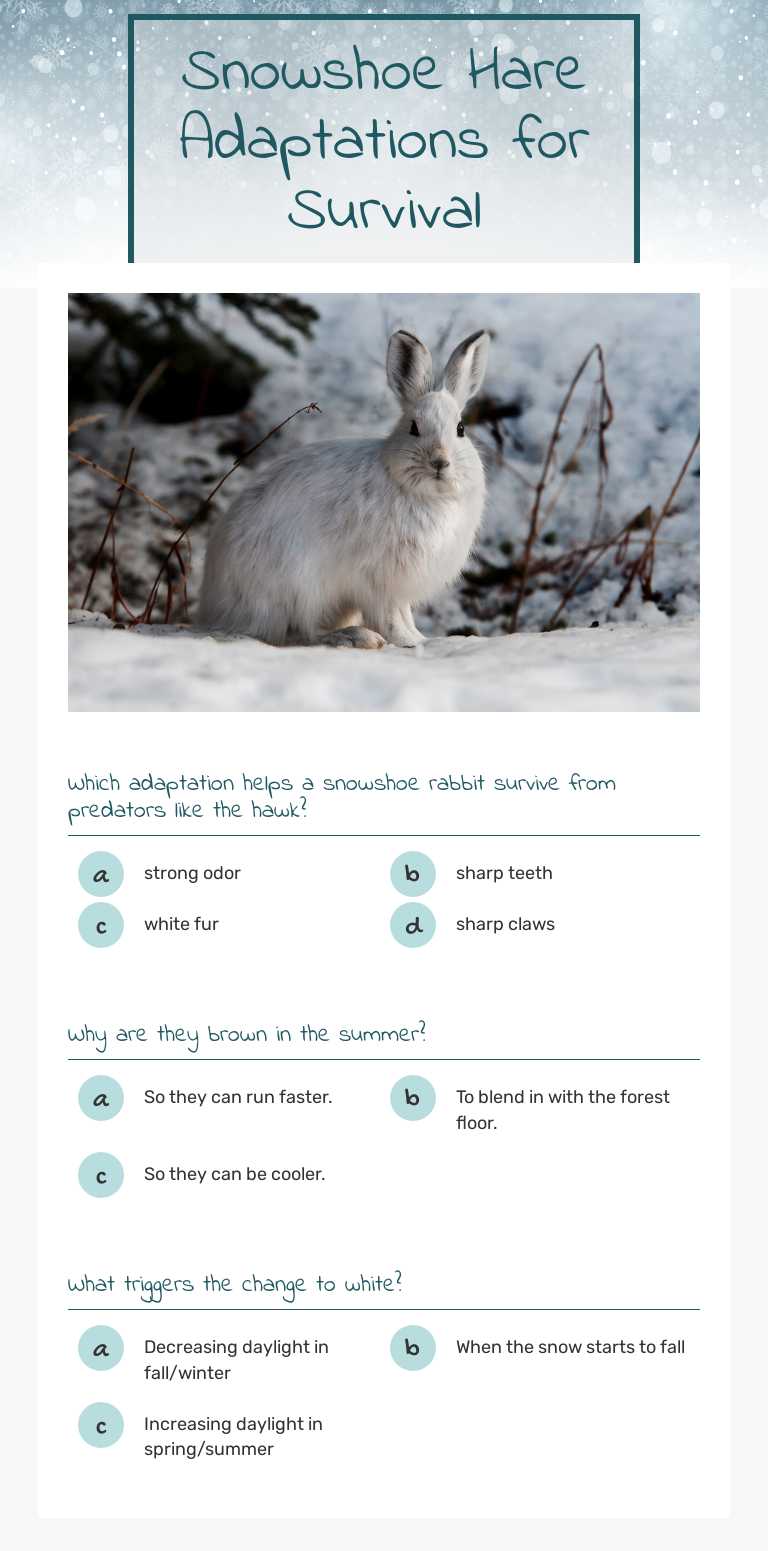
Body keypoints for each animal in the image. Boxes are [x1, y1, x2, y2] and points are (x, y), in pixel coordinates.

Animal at [197, 327, 489, 648]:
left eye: (461, 429)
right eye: (414, 428)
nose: (439, 462)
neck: (424, 494)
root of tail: (218, 610)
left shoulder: (397, 588)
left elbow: (404, 614)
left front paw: (419, 638)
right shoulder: (379, 581)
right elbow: (390, 616)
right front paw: (407, 641)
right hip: (299, 586)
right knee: (301, 633)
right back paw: (356, 637)